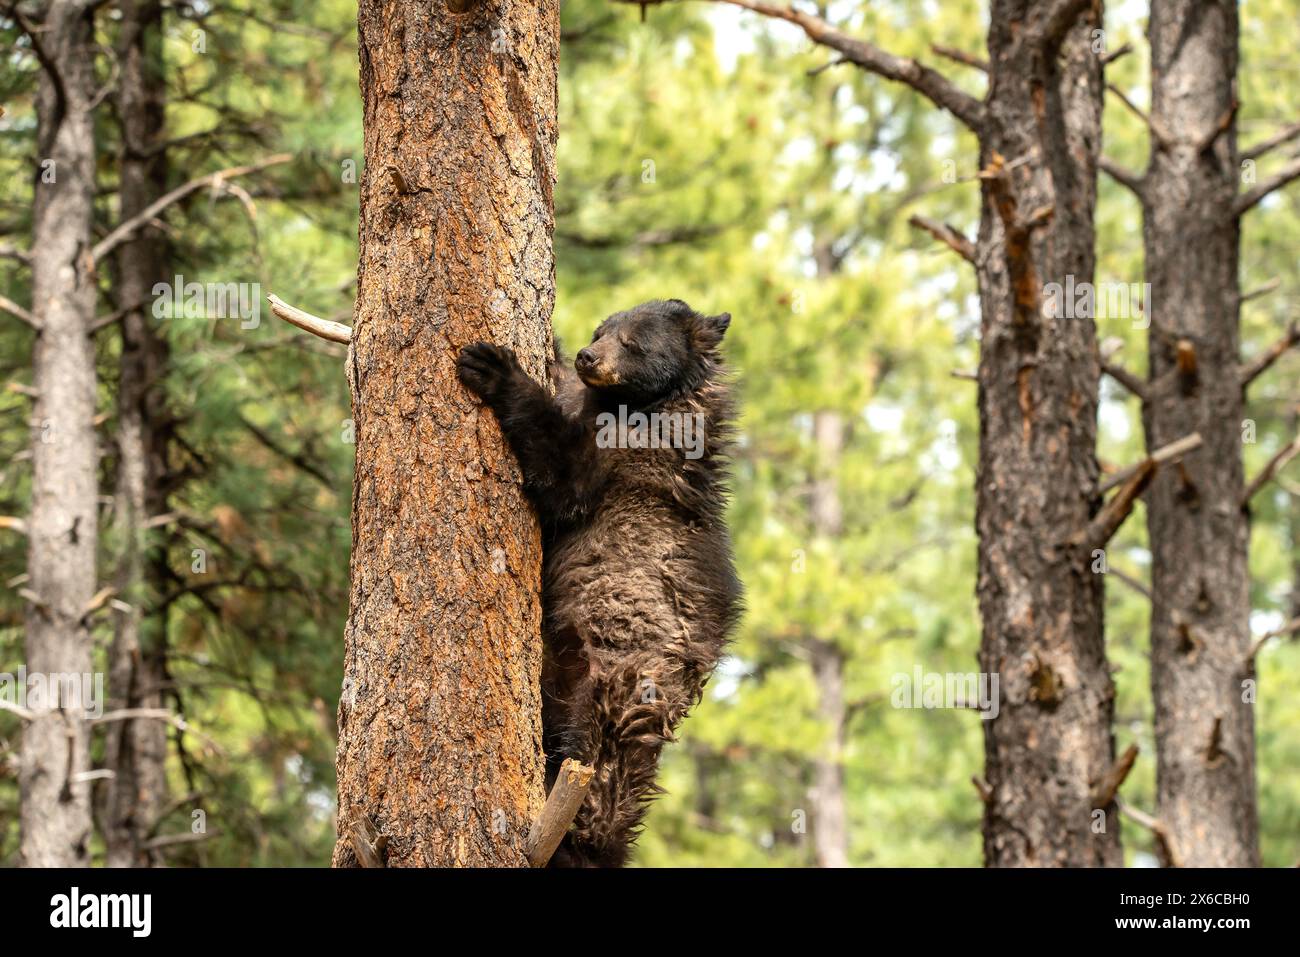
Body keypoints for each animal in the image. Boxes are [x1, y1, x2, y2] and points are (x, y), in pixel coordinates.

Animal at [456, 298, 742, 867]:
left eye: (634, 342)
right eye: (600, 329)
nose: (589, 357)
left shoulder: (630, 455)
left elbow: (564, 479)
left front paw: (497, 368)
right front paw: (552, 351)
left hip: (608, 680)